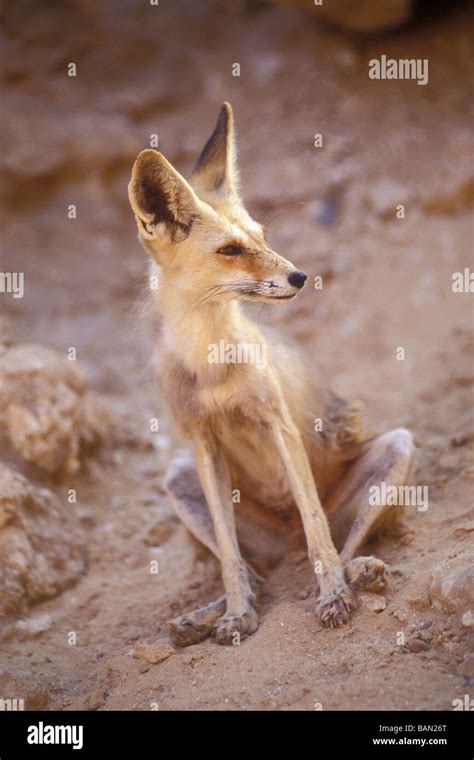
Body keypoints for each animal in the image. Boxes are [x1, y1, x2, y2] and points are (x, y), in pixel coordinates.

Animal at [128, 102, 415, 646]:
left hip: (397, 449)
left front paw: (333, 596)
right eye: (230, 250)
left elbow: (317, 527)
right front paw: (237, 614)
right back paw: (205, 616)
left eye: (262, 237)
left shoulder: (278, 425)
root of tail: (285, 541)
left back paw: (358, 573)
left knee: (336, 543)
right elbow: (231, 559)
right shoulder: (202, 445)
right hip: (178, 478)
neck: (211, 366)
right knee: (254, 570)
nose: (299, 276)